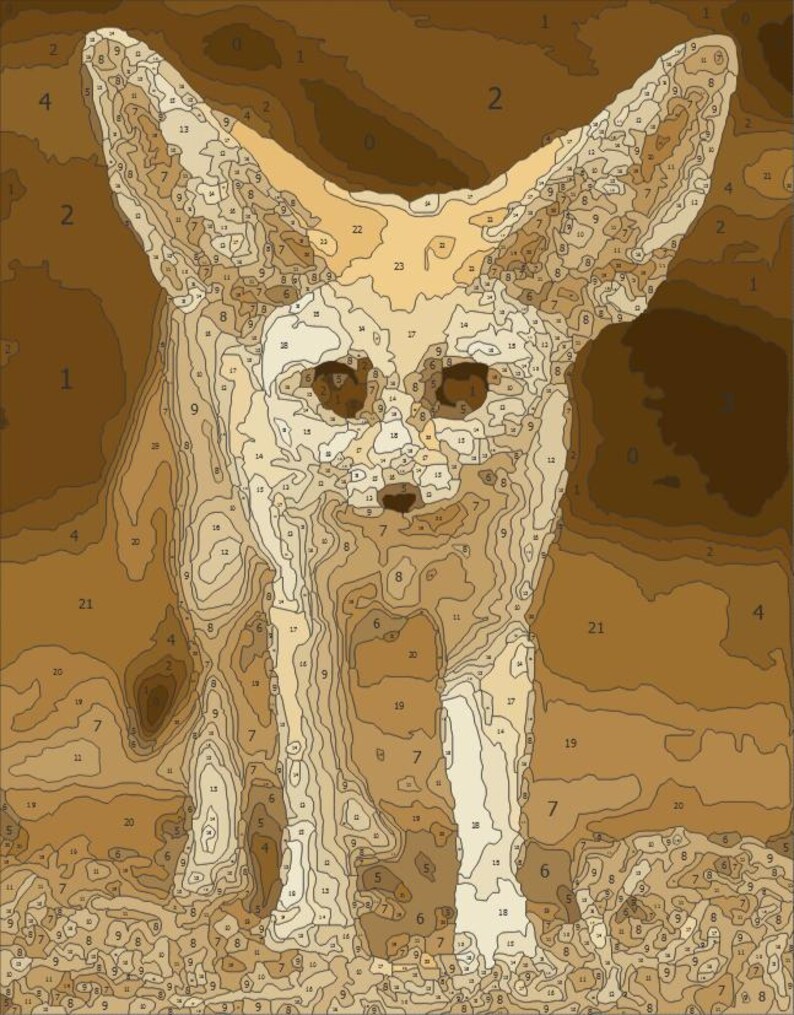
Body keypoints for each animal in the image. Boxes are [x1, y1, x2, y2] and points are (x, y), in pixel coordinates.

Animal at [83, 27, 736, 968]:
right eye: (337, 385)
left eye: (462, 386)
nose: (398, 490)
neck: (399, 554)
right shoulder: (305, 607)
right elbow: (308, 774)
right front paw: (316, 927)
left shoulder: (490, 629)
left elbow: (488, 807)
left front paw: (500, 944)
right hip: (224, 576)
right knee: (220, 707)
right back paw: (214, 862)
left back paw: (363, 829)